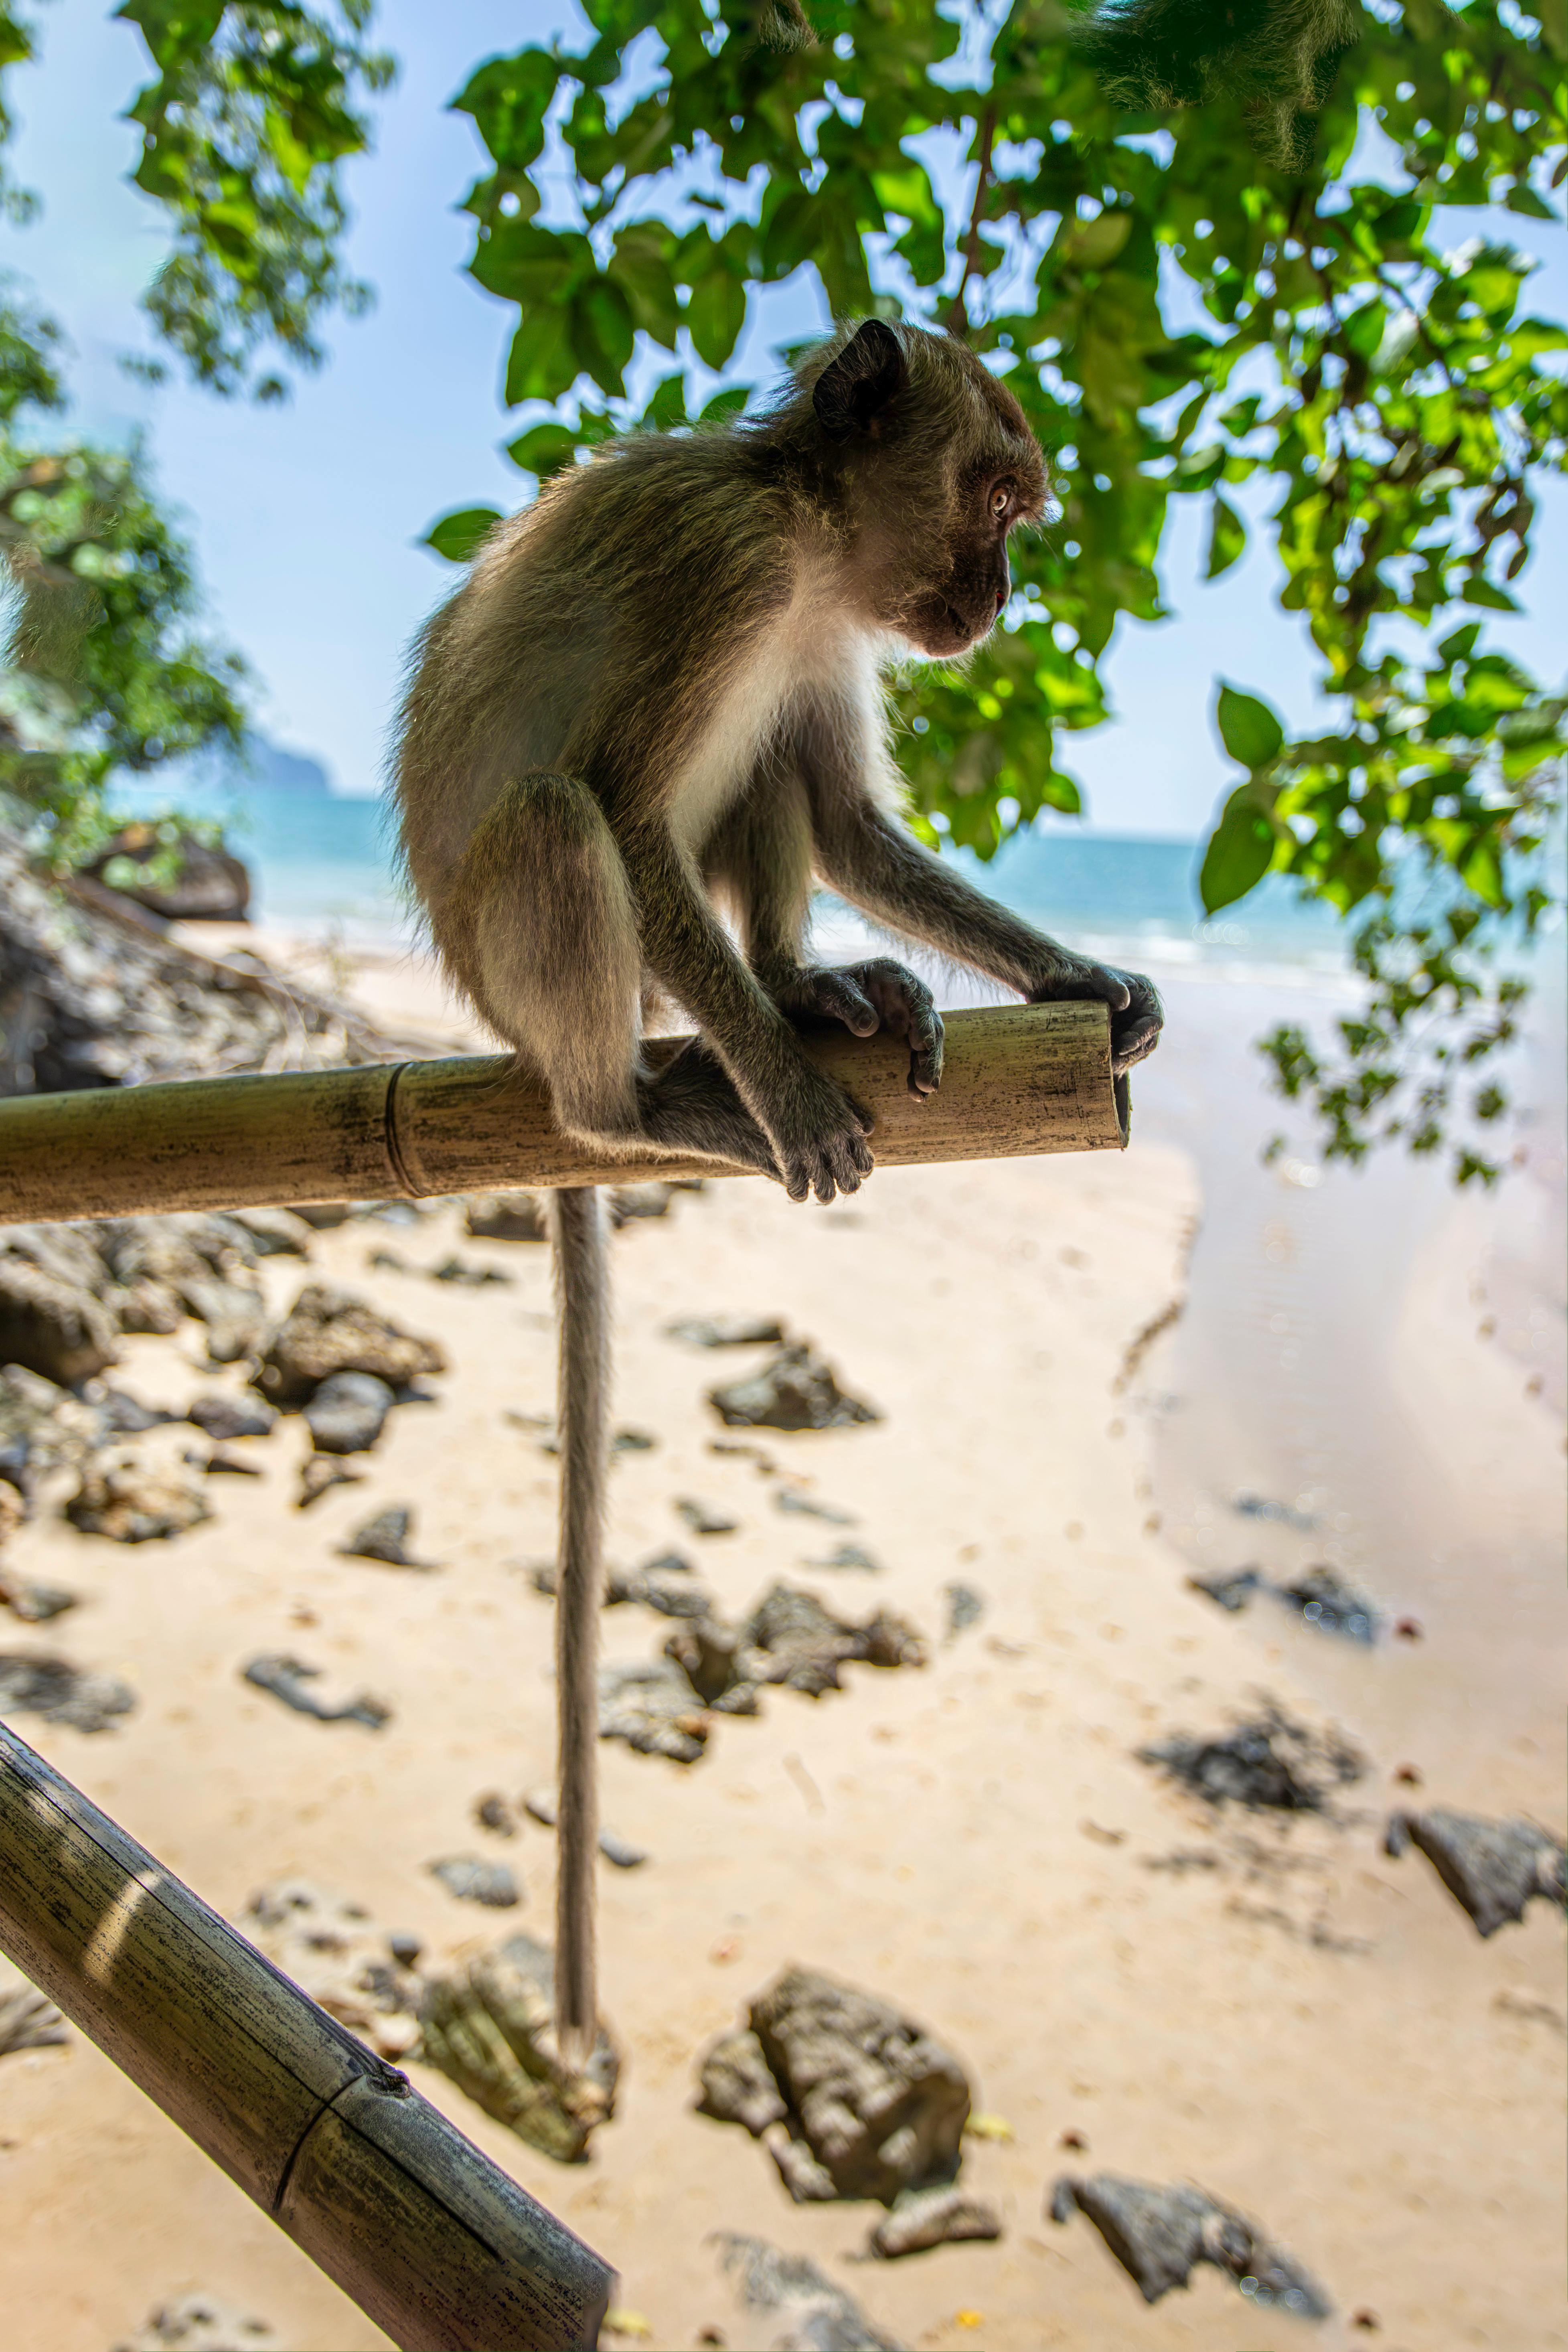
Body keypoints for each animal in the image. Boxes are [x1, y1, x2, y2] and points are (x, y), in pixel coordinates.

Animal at [393, 318, 1163, 2065]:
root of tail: (511, 1033)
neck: (810, 544)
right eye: (995, 503)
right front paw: (790, 1094)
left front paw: (1078, 975)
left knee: (772, 787)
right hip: (536, 966)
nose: (1000, 597)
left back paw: (803, 985)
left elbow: (856, 825)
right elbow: (620, 806)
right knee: (564, 821)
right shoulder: (728, 571)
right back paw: (646, 1099)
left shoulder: (822, 635)